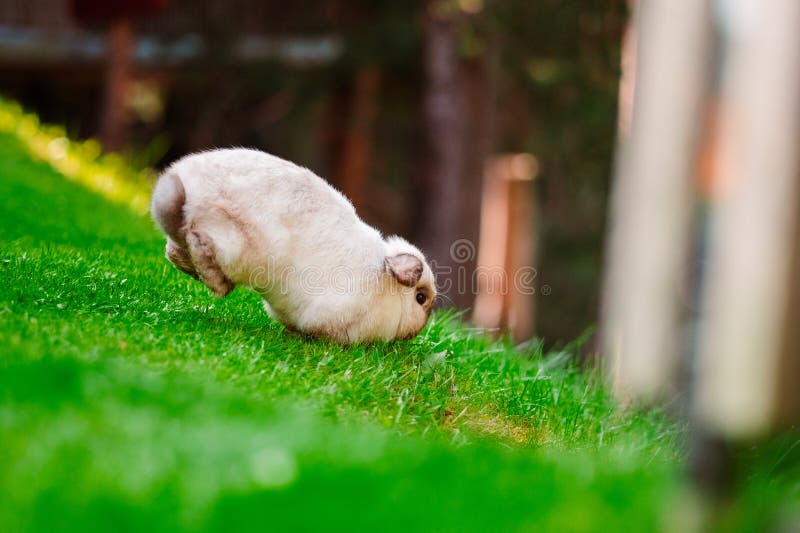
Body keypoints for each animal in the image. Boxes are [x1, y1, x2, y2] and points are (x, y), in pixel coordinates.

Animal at [150, 148, 436, 343]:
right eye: (421, 298)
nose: (416, 332)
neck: (383, 285)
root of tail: (187, 196)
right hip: (234, 245)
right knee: (201, 249)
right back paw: (219, 281)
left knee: (175, 251)